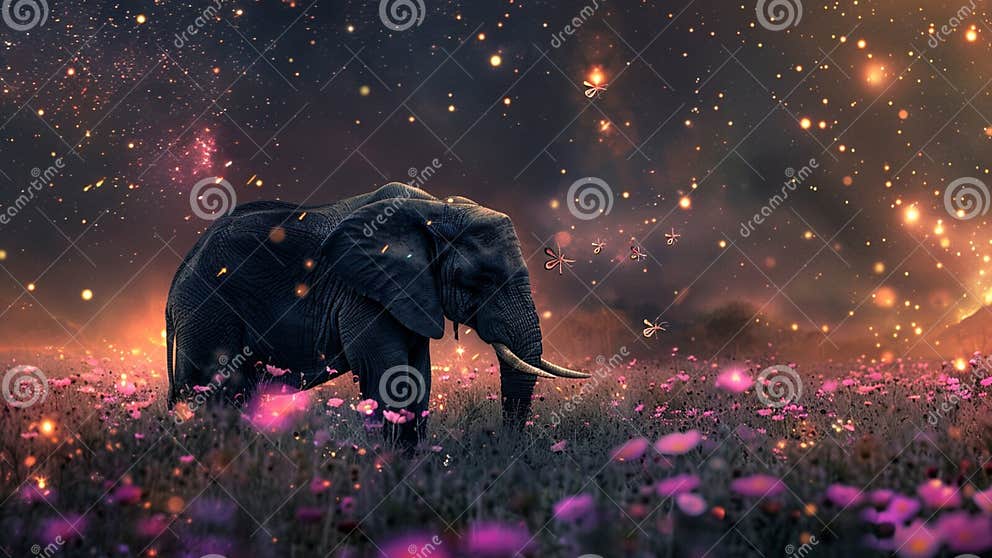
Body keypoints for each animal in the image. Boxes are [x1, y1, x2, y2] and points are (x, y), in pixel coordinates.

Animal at [166, 183, 589, 445]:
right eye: (480, 280)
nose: (505, 443)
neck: (435, 210)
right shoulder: (363, 291)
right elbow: (389, 375)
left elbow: (418, 375)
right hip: (208, 311)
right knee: (208, 391)